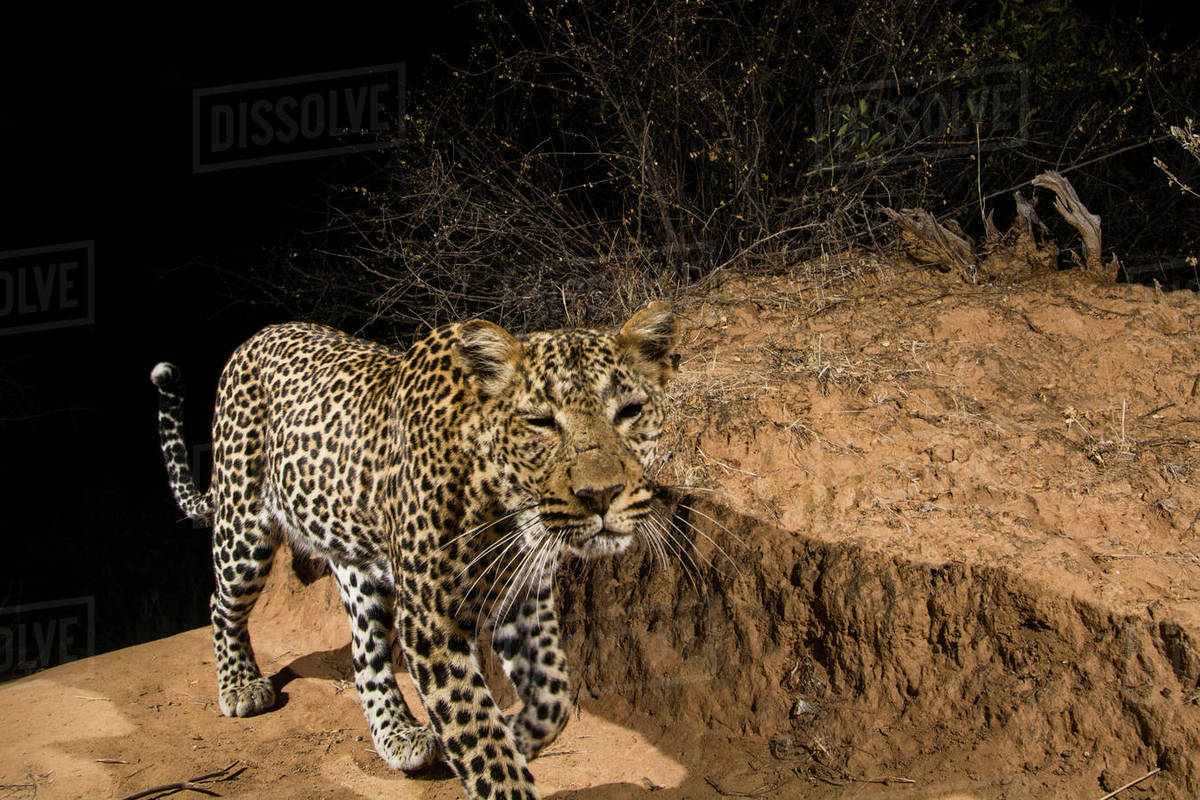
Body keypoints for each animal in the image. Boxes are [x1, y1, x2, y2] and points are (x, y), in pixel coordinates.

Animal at [150, 302, 680, 800]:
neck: (505, 500)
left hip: (356, 559)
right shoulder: (430, 619)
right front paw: (498, 761)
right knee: (222, 603)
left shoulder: (522, 593)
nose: (602, 495)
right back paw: (240, 684)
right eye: (541, 422)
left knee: (366, 651)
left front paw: (515, 733)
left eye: (629, 411)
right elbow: (479, 735)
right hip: (243, 525)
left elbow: (554, 696)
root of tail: (256, 337)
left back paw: (398, 732)